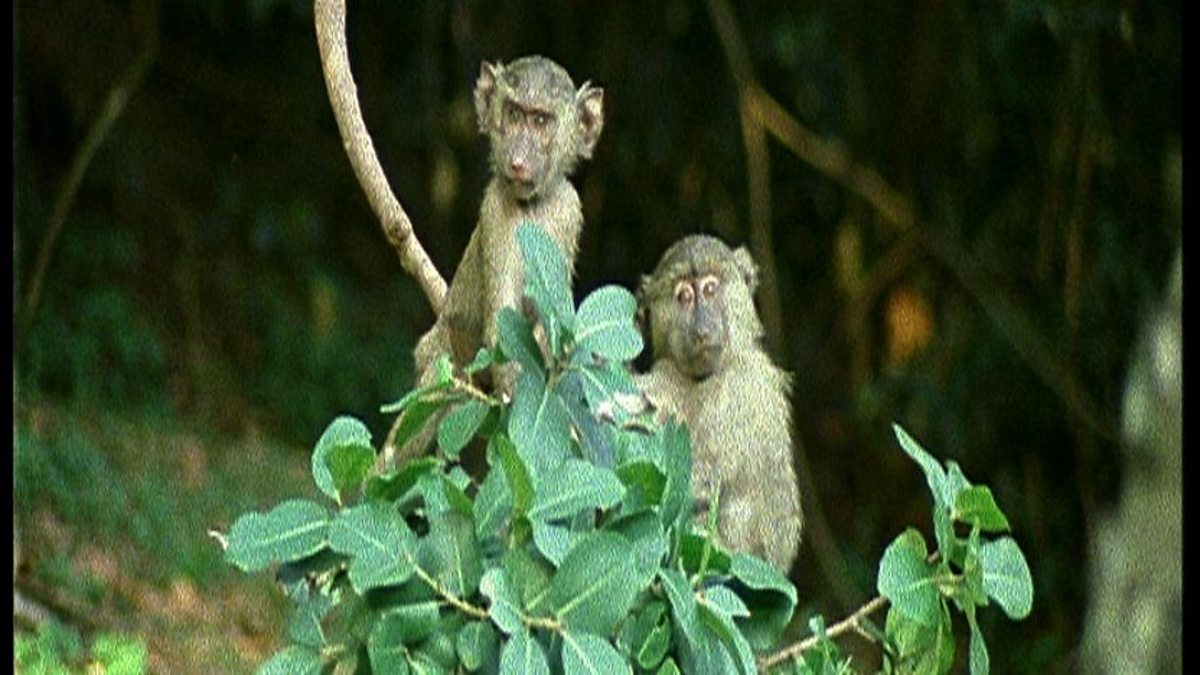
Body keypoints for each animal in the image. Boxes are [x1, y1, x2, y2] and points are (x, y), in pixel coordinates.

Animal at [381, 55, 605, 469]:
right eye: (514, 114)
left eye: (541, 121)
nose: (517, 161)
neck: (533, 205)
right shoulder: (497, 211)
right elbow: (504, 325)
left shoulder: (569, 208)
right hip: (441, 365)